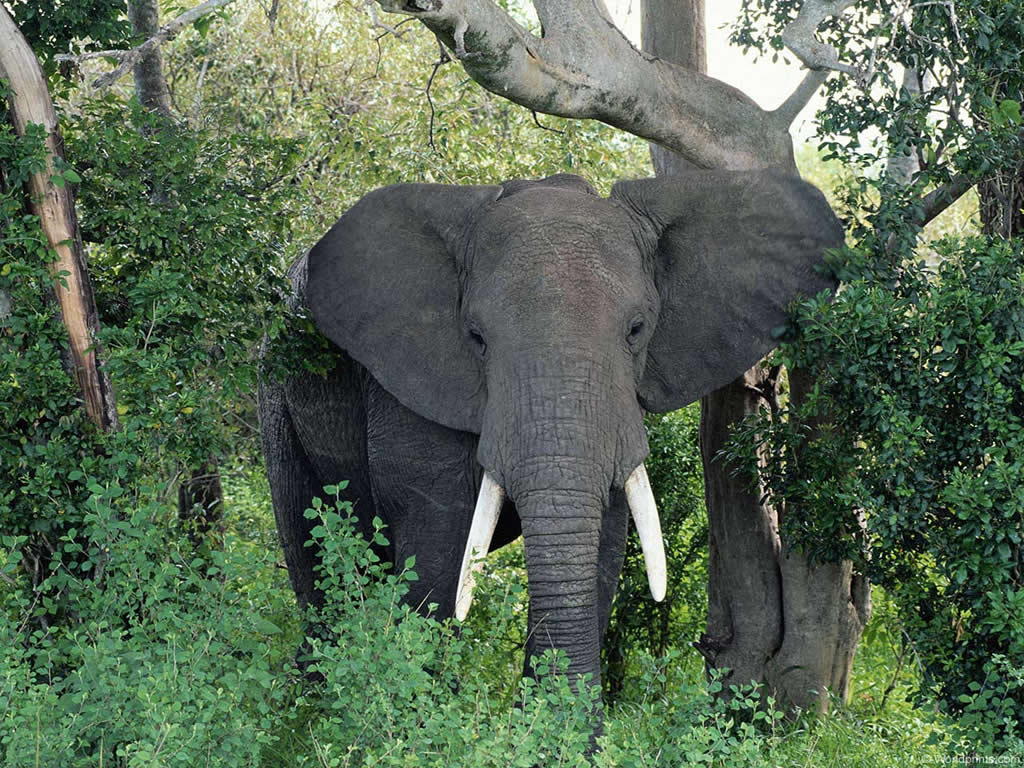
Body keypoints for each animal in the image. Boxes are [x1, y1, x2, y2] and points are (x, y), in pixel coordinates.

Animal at [258, 170, 843, 697]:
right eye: (476, 338)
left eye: (637, 330)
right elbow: (438, 553)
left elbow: (603, 546)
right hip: (275, 393)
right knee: (313, 553)